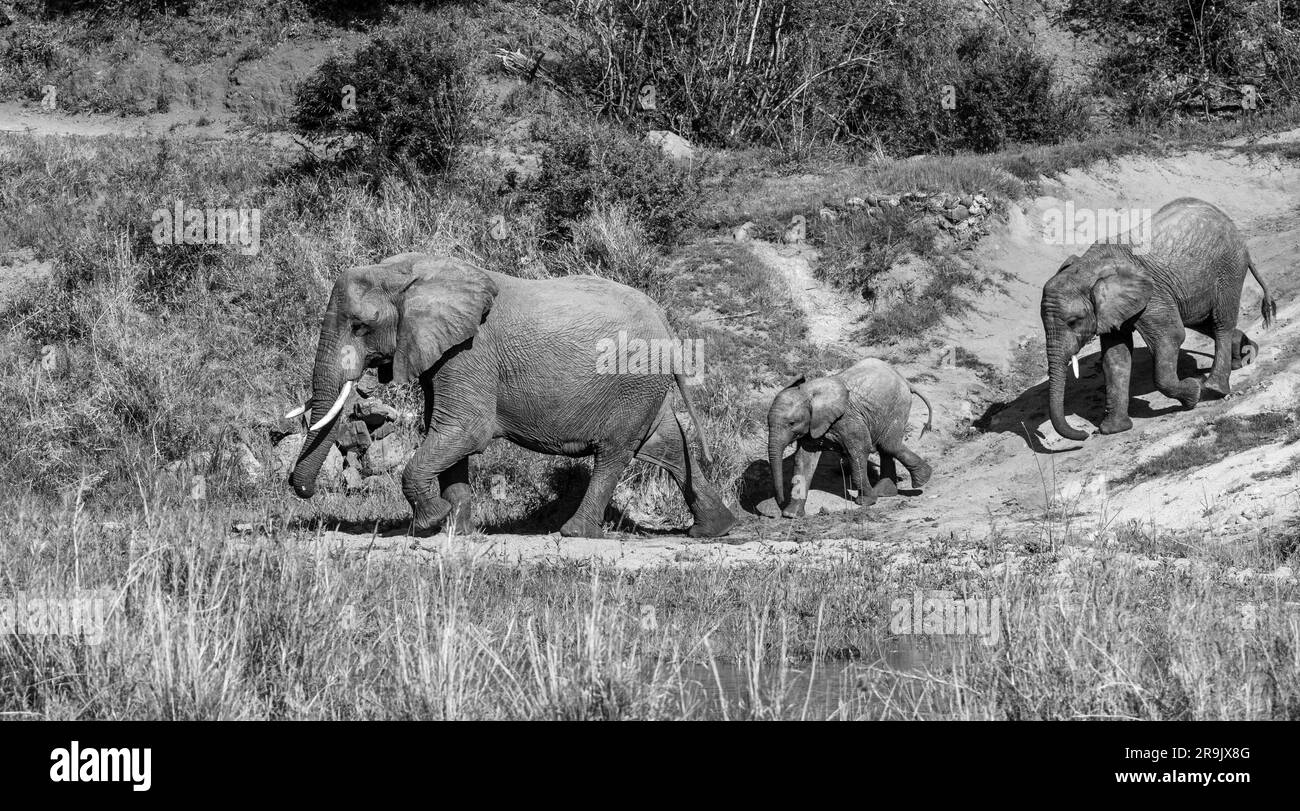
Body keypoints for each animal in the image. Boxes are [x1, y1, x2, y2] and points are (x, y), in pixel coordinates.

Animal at [286, 253, 733, 538]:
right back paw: (715, 530)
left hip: (631, 385)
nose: (305, 493)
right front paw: (457, 531)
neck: (409, 271)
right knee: (668, 445)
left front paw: (431, 523)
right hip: (644, 387)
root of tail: (666, 324)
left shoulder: (470, 352)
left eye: (360, 327)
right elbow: (445, 432)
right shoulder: (442, 354)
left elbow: (465, 430)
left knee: (615, 453)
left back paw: (575, 533)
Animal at [759, 356, 935, 519]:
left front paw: (866, 502)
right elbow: (803, 461)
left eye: (791, 423)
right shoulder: (812, 426)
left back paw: (921, 480)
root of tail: (905, 380)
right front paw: (792, 515)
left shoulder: (848, 420)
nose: (779, 503)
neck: (809, 393)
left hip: (898, 406)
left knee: (888, 444)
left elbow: (858, 452)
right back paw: (887, 491)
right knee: (886, 447)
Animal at [1040, 196, 1274, 439]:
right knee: (1202, 321)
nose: (1085, 435)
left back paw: (1213, 387)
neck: (1088, 267)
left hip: (1229, 267)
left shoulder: (1153, 295)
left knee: (1220, 322)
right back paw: (1246, 355)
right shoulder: (1112, 309)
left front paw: (1193, 393)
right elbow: (1115, 356)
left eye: (1073, 322)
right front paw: (1114, 429)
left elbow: (1171, 337)